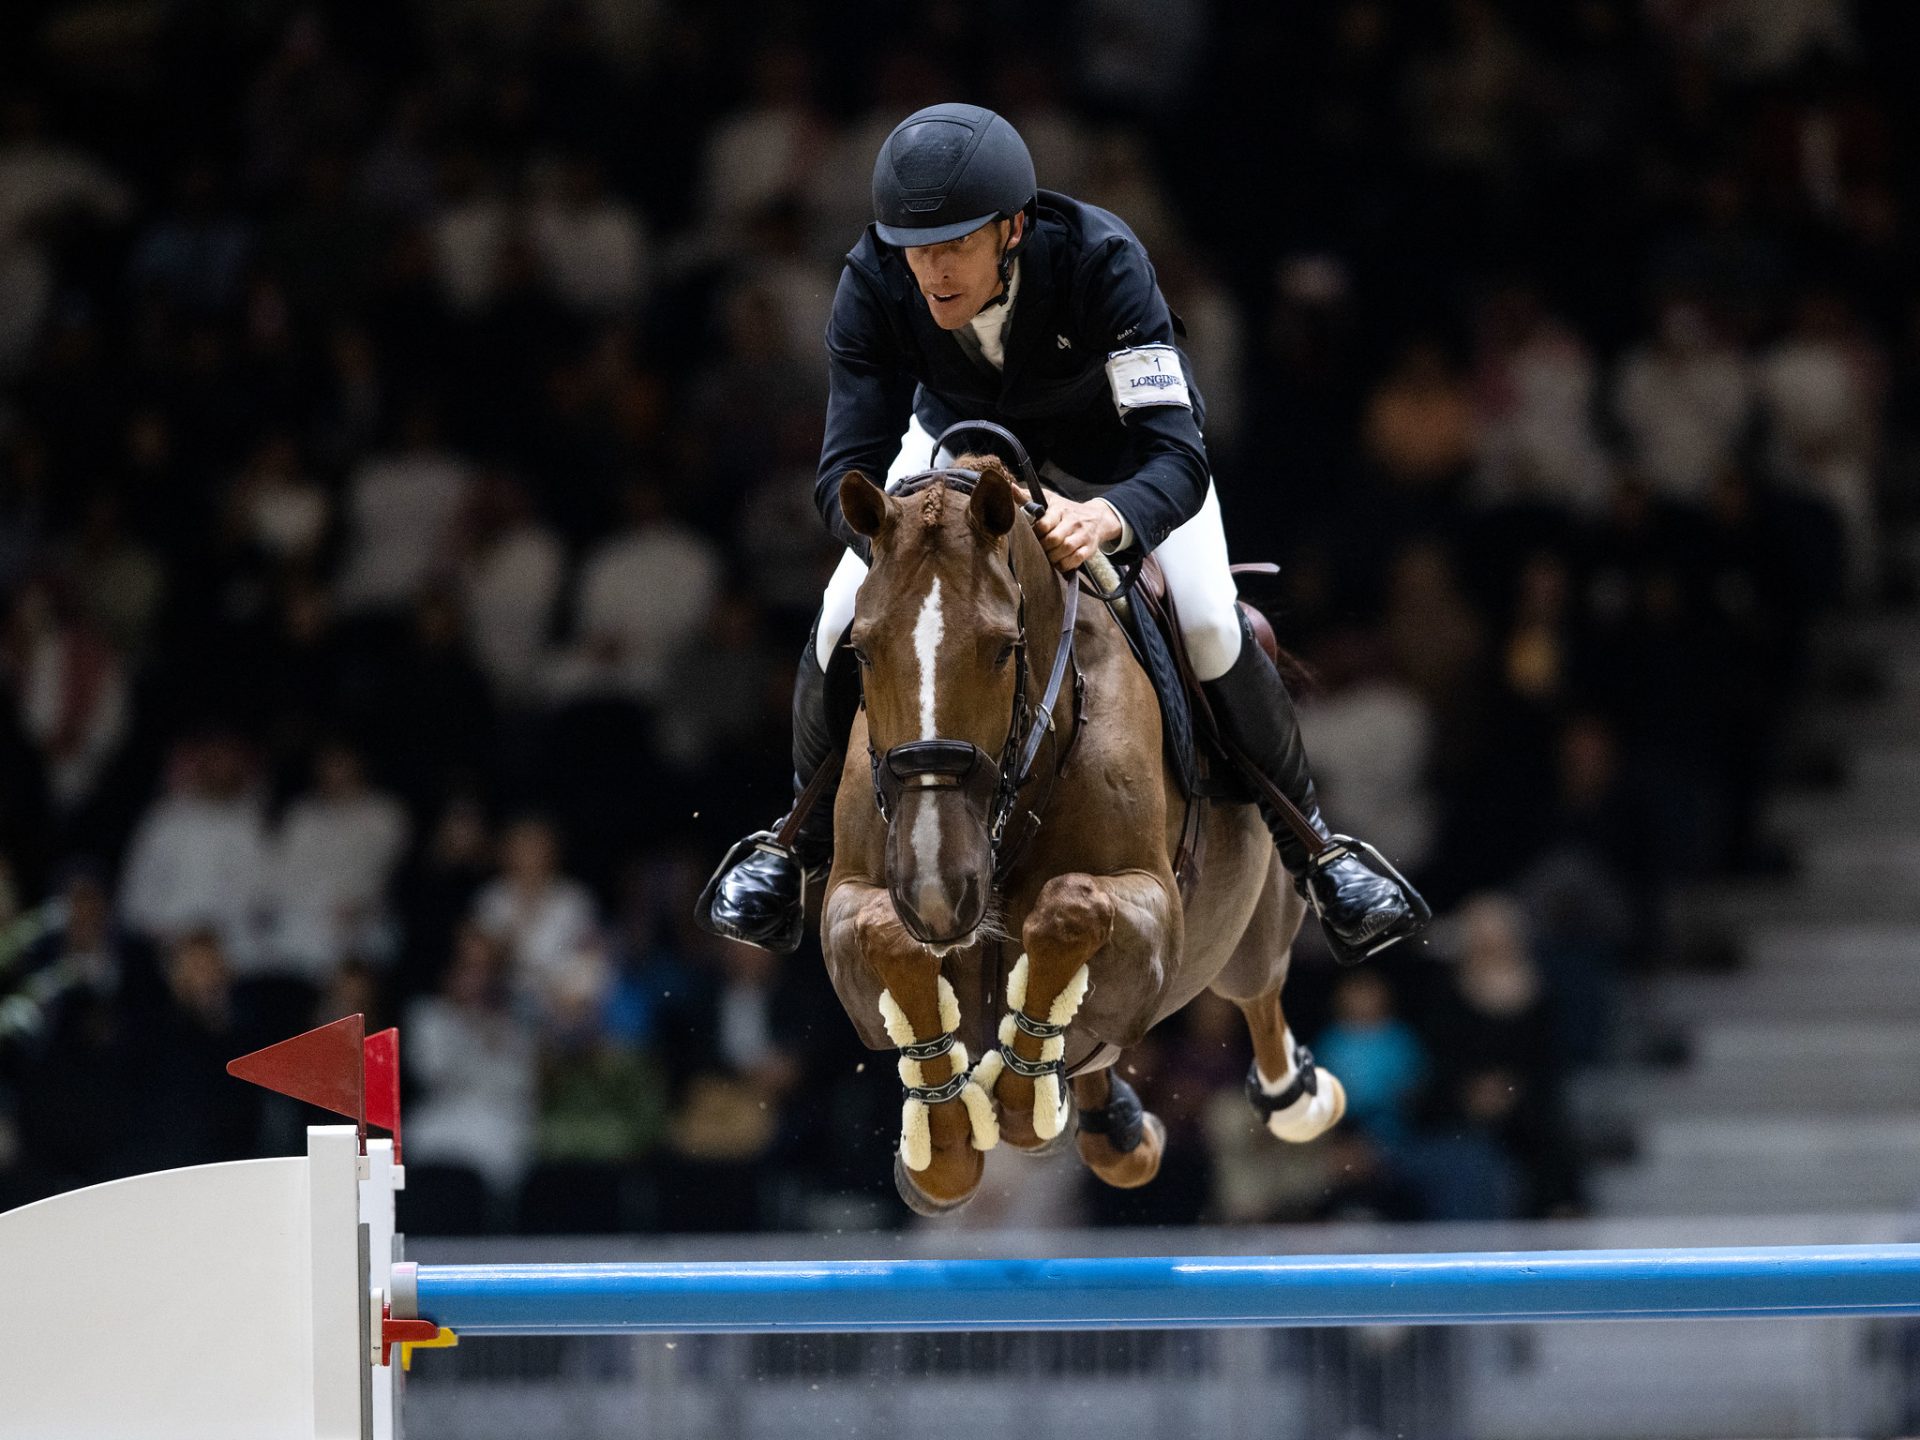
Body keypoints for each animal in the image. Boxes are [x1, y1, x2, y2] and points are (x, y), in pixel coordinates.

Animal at [818, 453, 1348, 1215]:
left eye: (1004, 649)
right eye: (860, 652)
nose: (938, 888)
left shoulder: (1156, 915)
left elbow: (1070, 906)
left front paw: (1020, 1099)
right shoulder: (854, 901)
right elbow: (885, 933)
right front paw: (942, 1148)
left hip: (1252, 933)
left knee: (1257, 992)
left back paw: (1296, 1094)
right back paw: (1113, 1126)